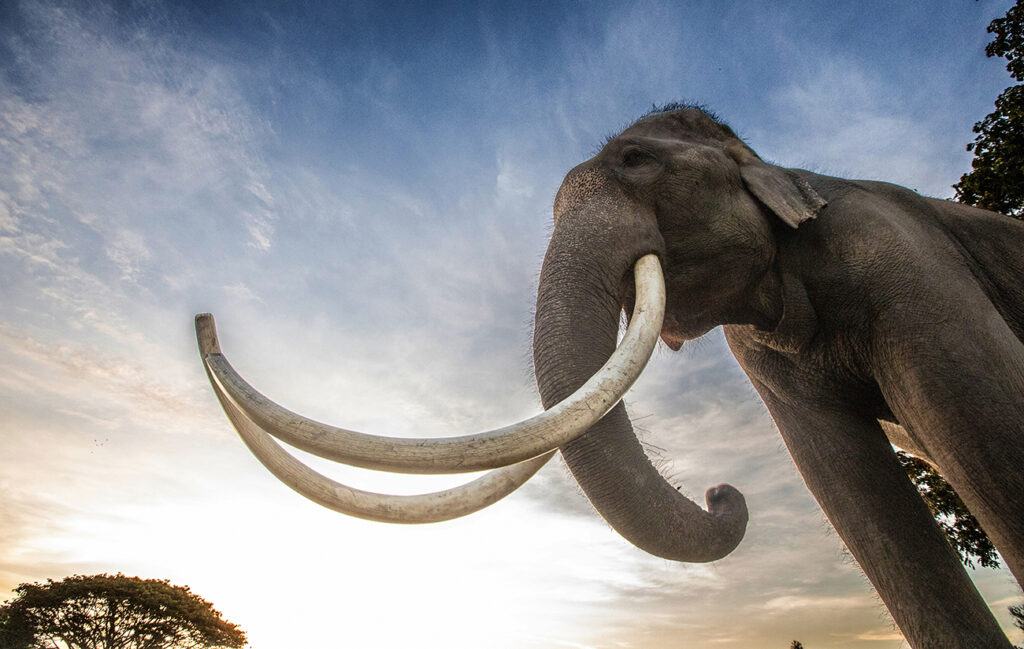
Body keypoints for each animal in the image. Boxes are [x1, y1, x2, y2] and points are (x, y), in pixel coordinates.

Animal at [196, 104, 1024, 649]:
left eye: (635, 162)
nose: (723, 493)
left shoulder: (906, 266)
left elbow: (989, 436)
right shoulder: (772, 364)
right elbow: (861, 504)